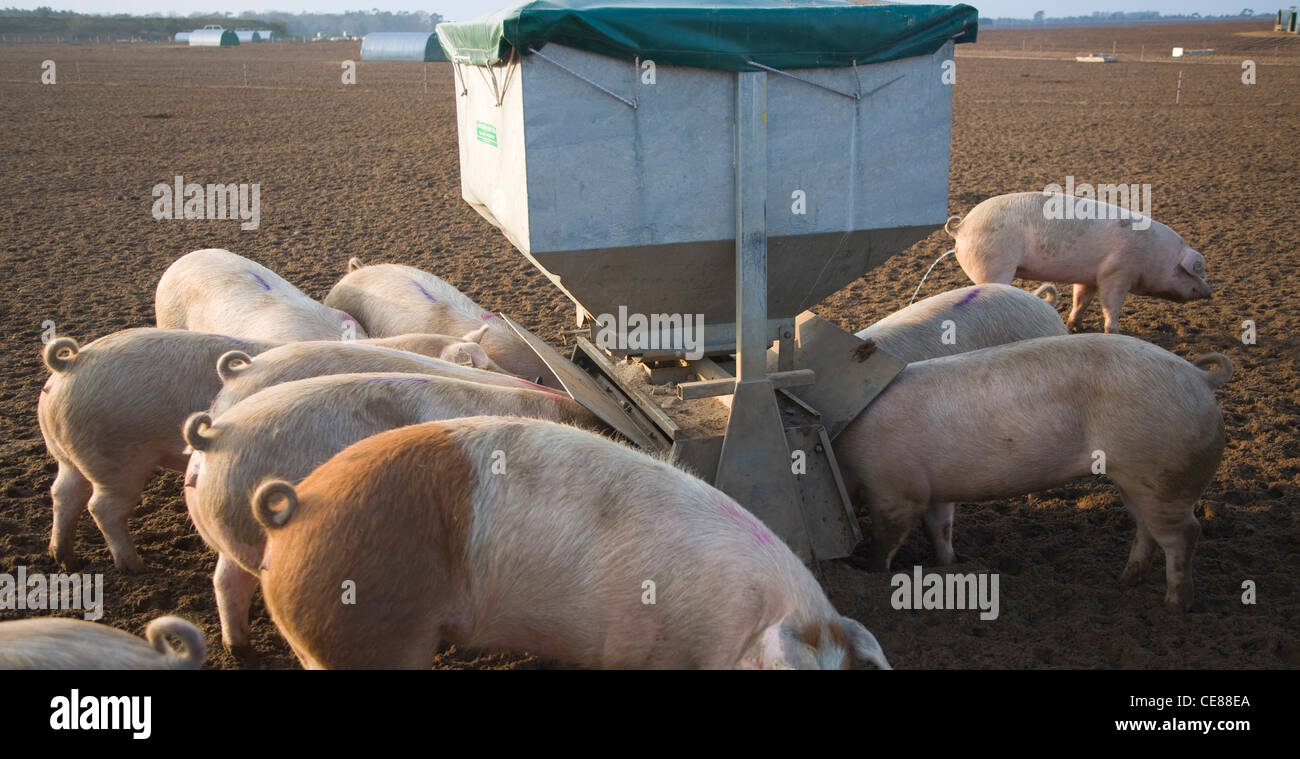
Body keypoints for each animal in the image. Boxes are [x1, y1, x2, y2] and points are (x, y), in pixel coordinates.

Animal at [38, 328, 275, 571]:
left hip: (67, 457)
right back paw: (135, 566)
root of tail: (70, 364)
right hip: (116, 462)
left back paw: (67, 559)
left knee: (63, 493)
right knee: (102, 508)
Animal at [834, 333, 1232, 611]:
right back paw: (1125, 581)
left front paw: (872, 570)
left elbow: (887, 536)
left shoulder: (893, 487)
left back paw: (1175, 606)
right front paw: (948, 564)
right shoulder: (932, 489)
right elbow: (940, 528)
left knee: (1185, 534)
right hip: (1134, 480)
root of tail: (1198, 376)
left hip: (1164, 474)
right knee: (1145, 527)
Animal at [946, 192, 1212, 333]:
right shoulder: (1117, 273)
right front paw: (1114, 331)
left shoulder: (1090, 278)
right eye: (1195, 272)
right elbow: (1111, 306)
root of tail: (962, 227)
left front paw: (1073, 326)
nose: (1210, 291)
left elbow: (1080, 300)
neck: (1155, 255)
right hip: (995, 266)